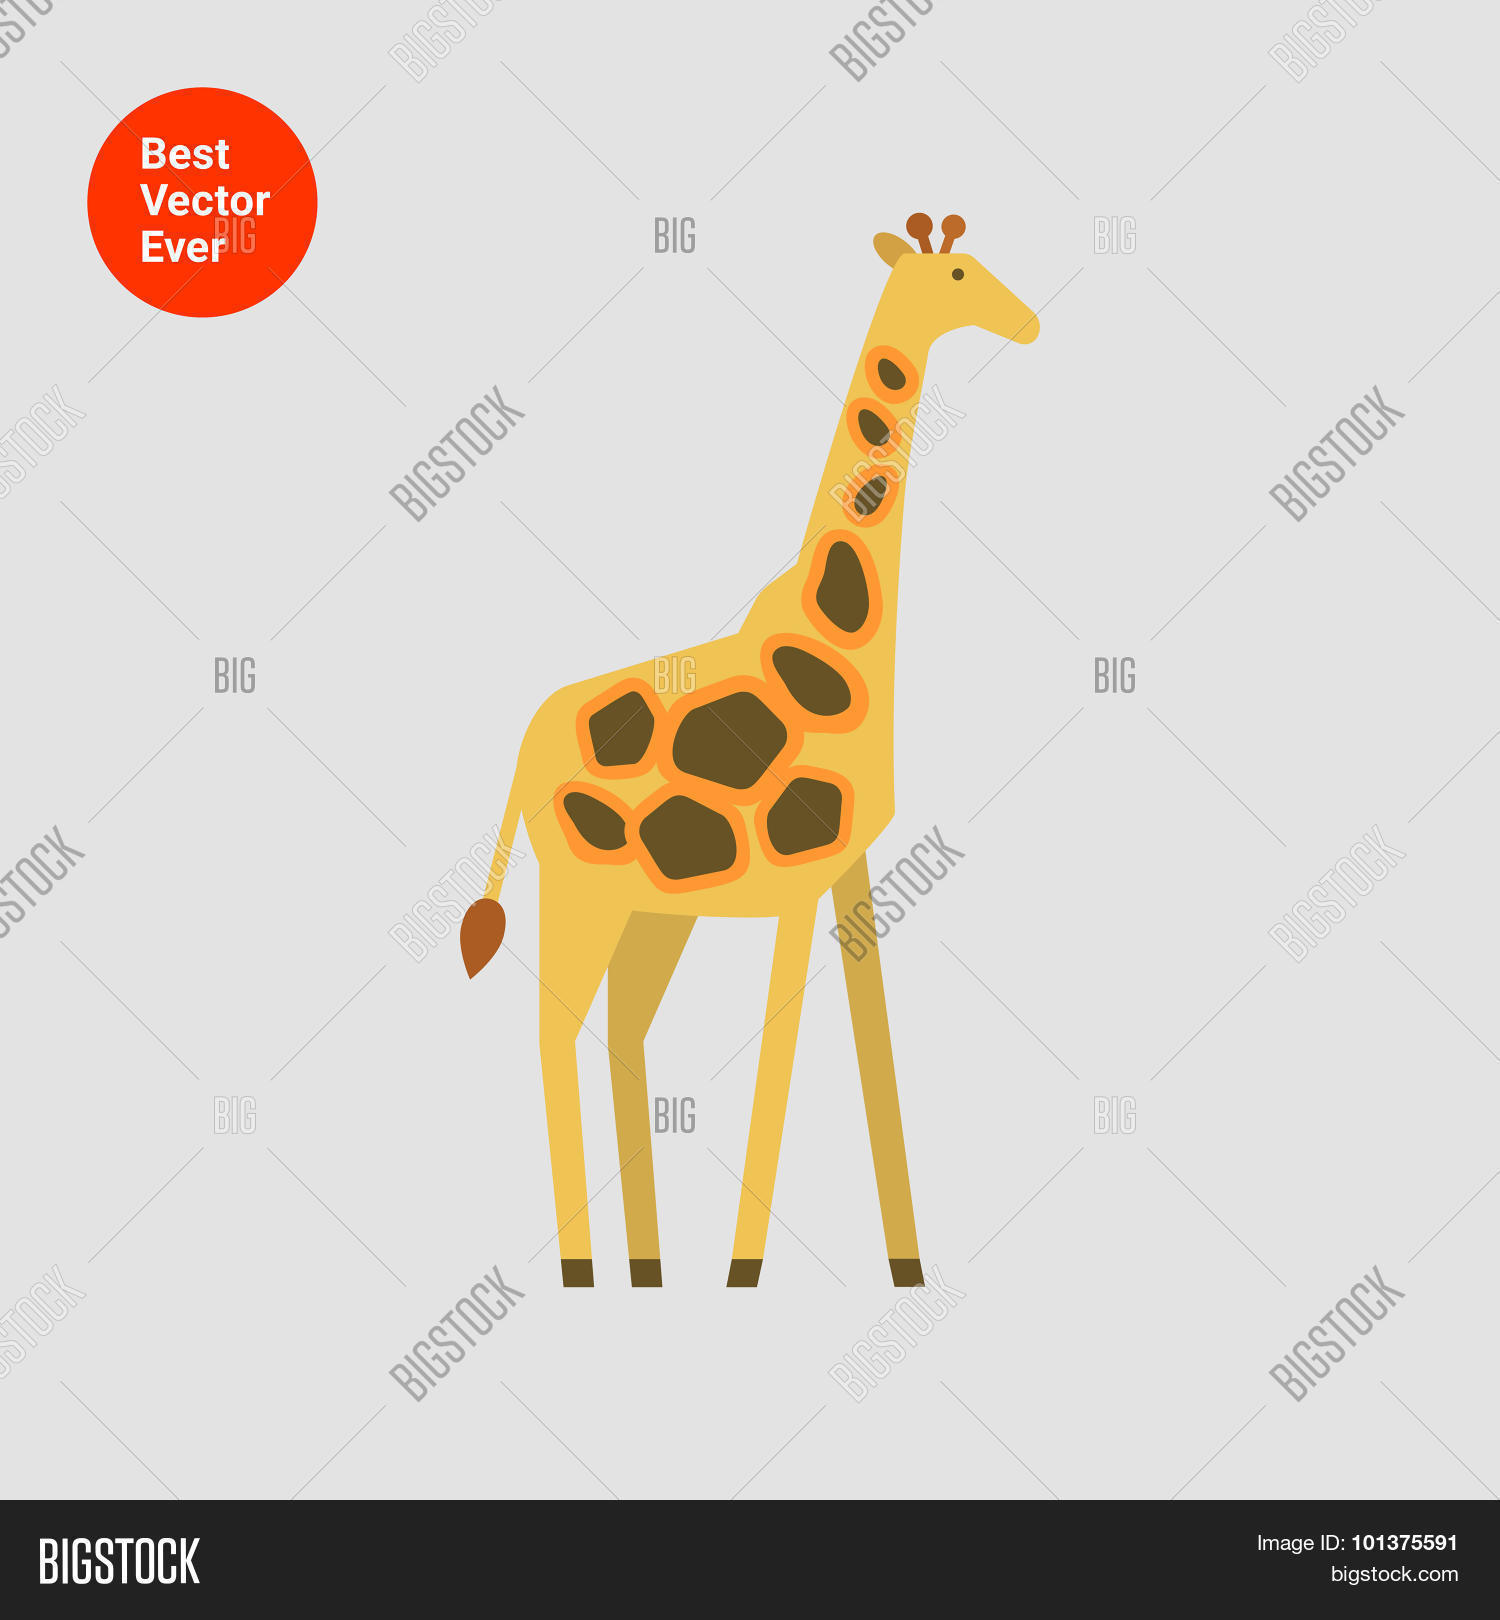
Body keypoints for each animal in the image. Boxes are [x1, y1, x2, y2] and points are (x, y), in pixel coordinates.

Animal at [462, 213, 1039, 1289]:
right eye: (957, 272)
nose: (1028, 322)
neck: (836, 644)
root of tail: (520, 750)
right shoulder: (794, 883)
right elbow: (784, 1054)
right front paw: (742, 1274)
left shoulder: (851, 869)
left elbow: (874, 1050)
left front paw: (907, 1269)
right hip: (583, 890)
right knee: (555, 1028)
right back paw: (585, 1270)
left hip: (654, 907)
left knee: (622, 1026)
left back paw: (647, 1268)